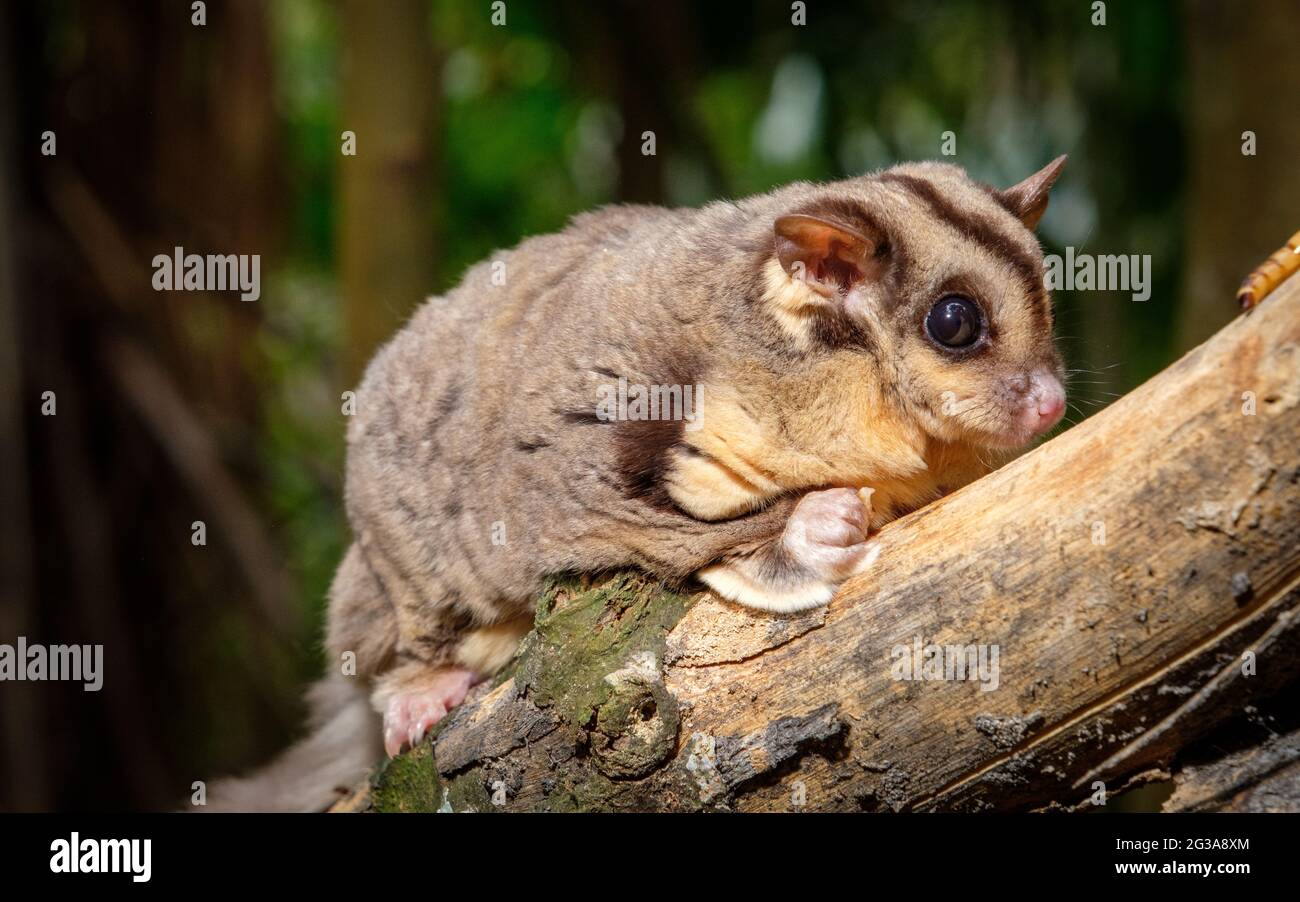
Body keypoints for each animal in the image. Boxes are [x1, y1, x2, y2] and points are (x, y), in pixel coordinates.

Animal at [207, 157, 1067, 810]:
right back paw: (421, 687)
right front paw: (813, 529)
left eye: (1045, 305)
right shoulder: (604, 441)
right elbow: (637, 523)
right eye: (953, 323)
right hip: (391, 565)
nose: (1053, 402)